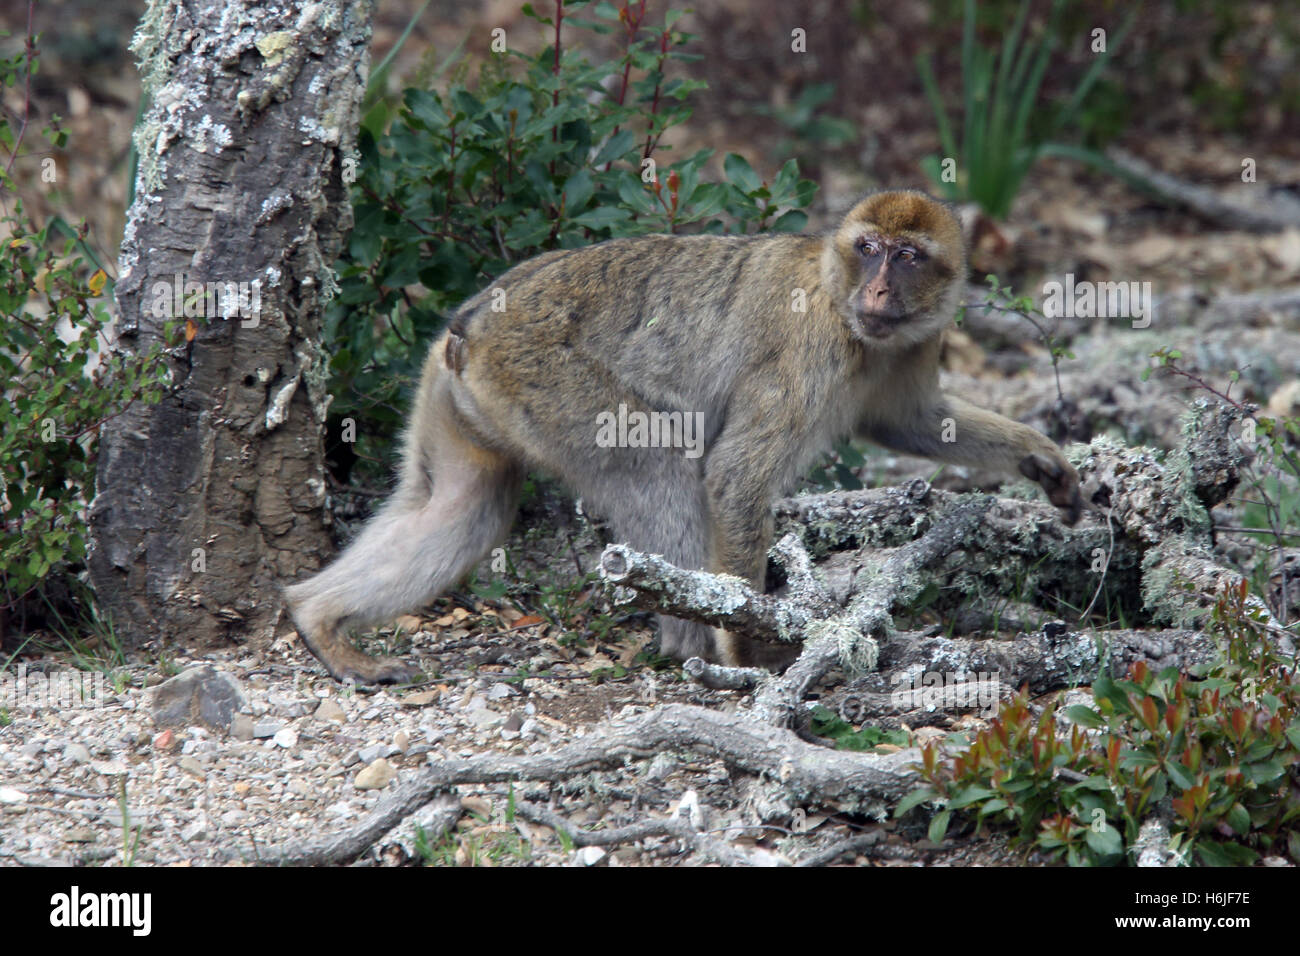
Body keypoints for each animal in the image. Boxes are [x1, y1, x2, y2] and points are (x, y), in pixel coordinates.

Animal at [284, 189, 1083, 685]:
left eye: (908, 255)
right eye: (870, 248)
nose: (881, 289)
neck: (841, 293)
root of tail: (473, 320)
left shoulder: (917, 342)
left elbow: (909, 420)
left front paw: (1040, 458)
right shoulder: (811, 346)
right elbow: (733, 476)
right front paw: (747, 641)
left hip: (460, 396)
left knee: (460, 509)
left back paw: (316, 617)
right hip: (541, 379)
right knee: (660, 469)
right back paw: (693, 643)